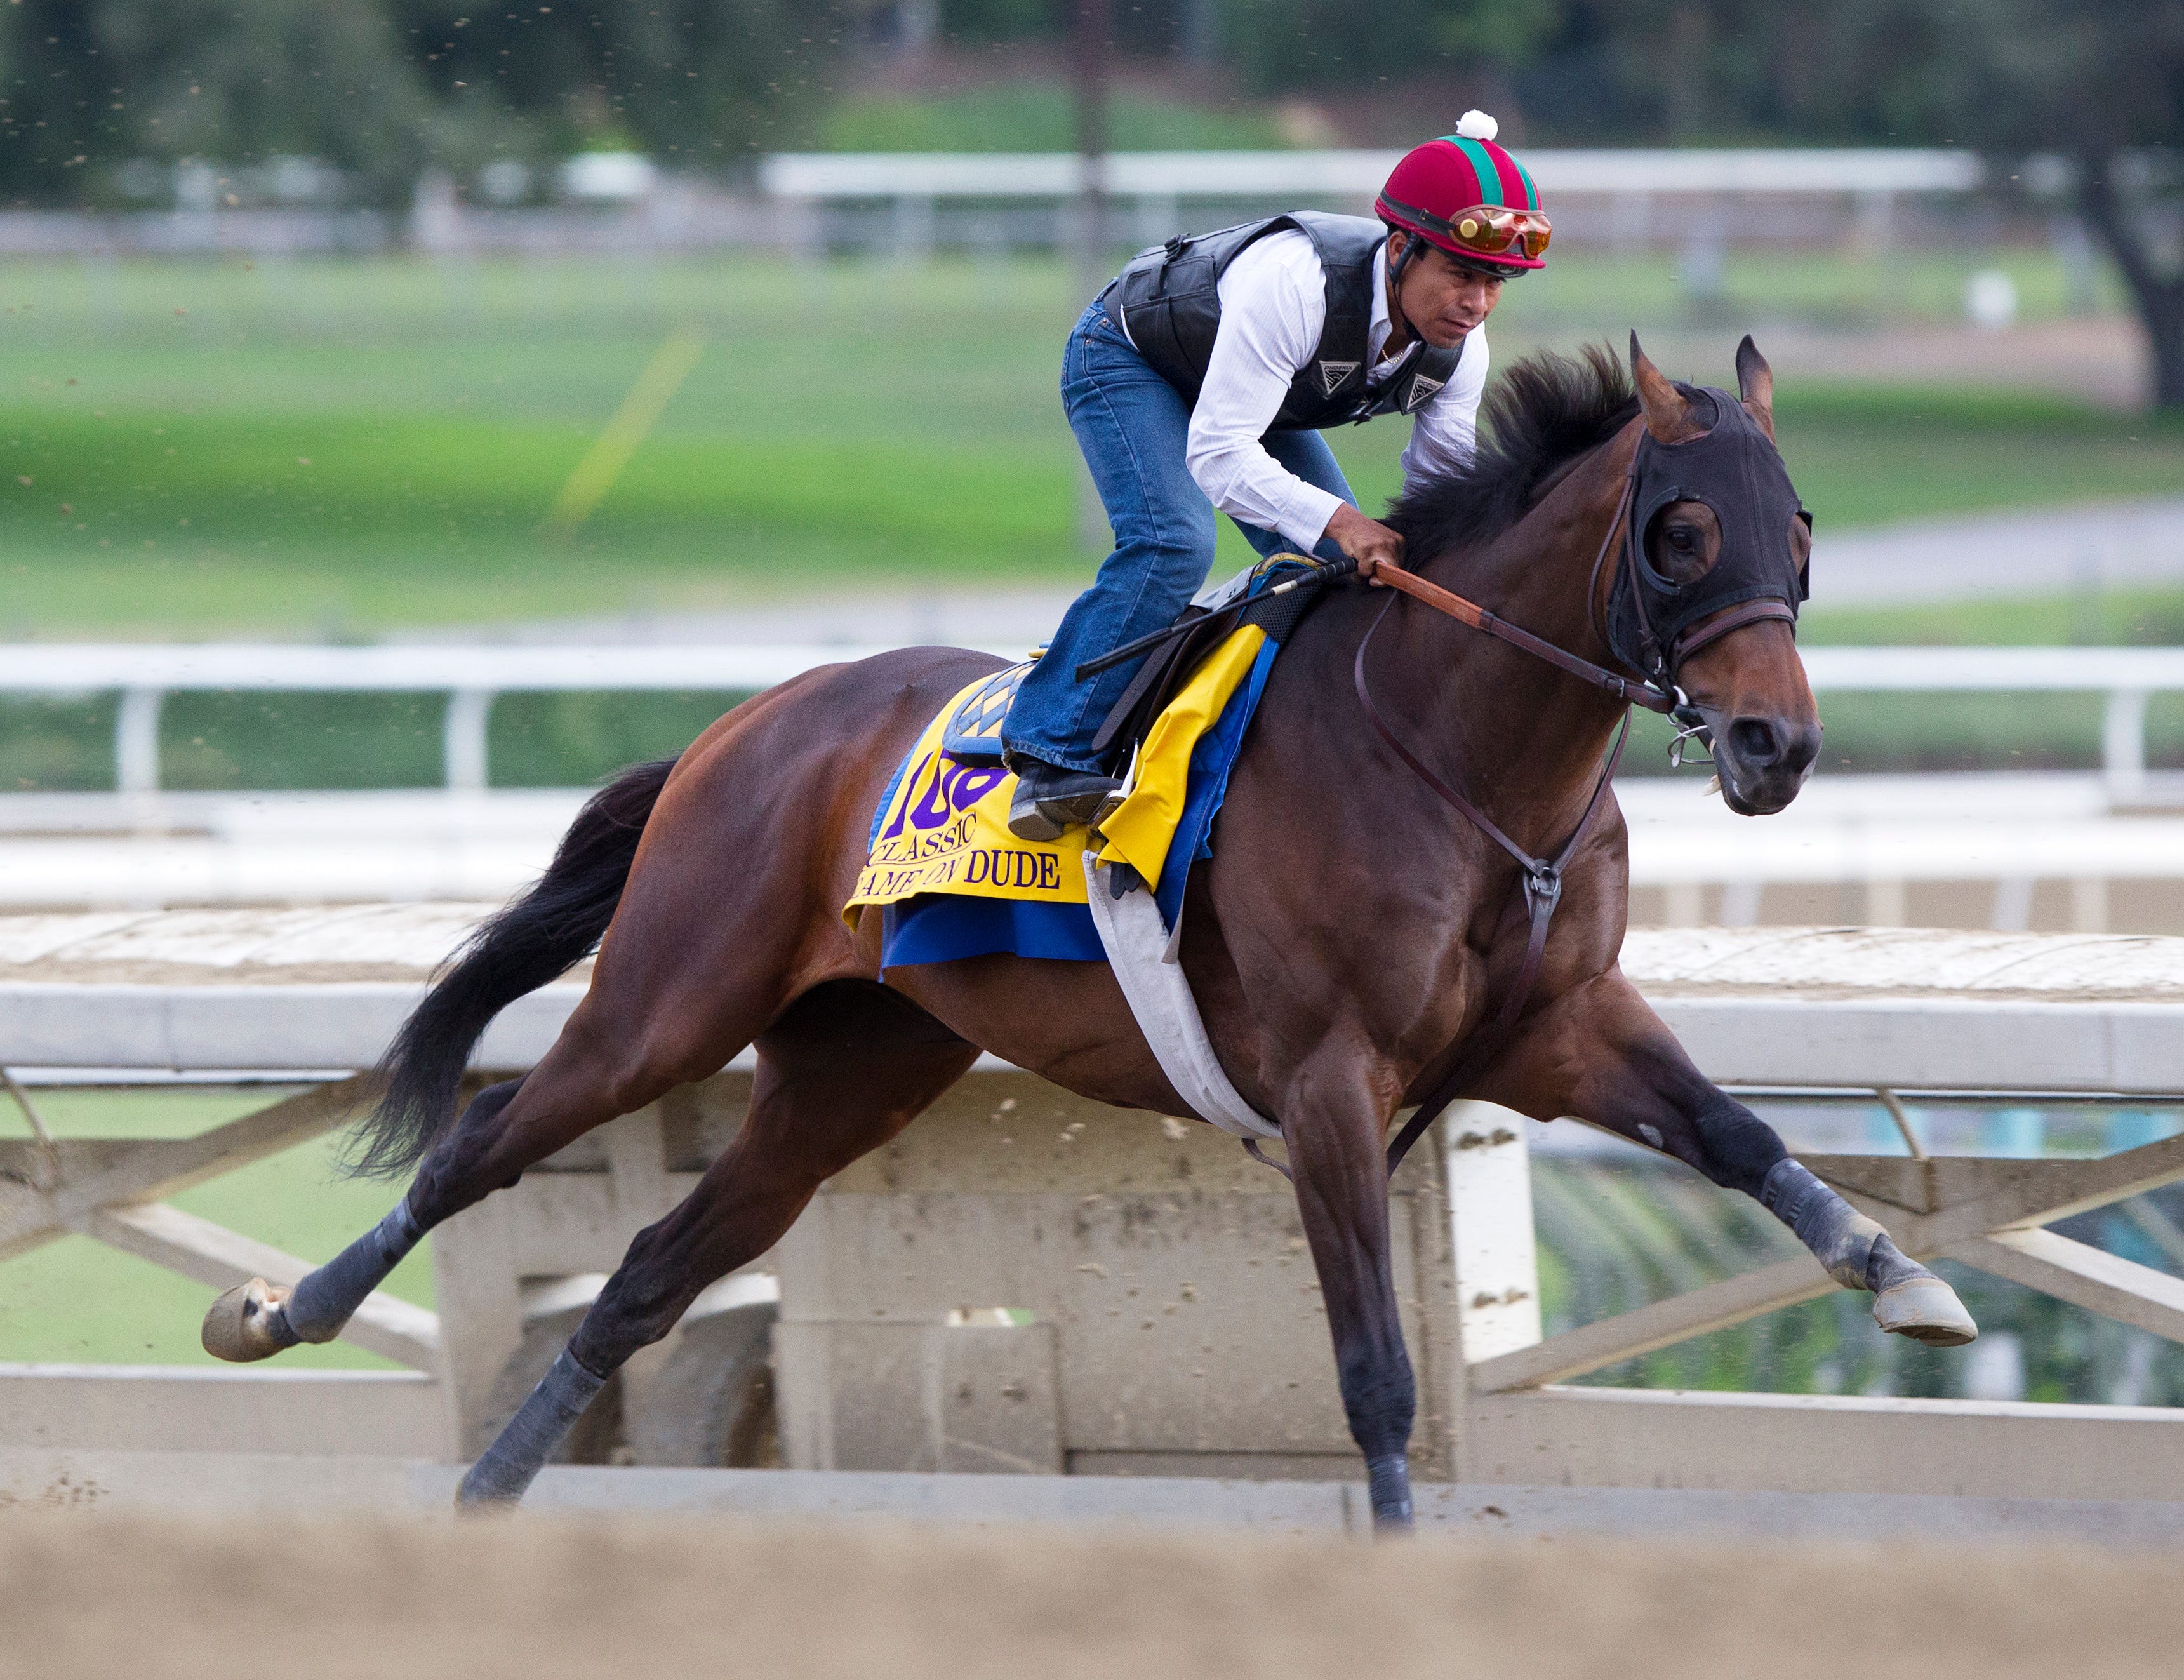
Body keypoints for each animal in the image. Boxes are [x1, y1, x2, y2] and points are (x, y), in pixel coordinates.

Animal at [202, 336, 1976, 1529]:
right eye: (1682, 533)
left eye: (1799, 528)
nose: (1776, 748)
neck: (1455, 756)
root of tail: (745, 720)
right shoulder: (1328, 1080)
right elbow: (1375, 1367)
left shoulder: (1552, 1028)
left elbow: (1737, 1134)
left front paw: (1903, 1276)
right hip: (672, 997)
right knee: (482, 1143)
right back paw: (284, 1314)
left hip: (850, 1070)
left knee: (646, 1273)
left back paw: (491, 1495)